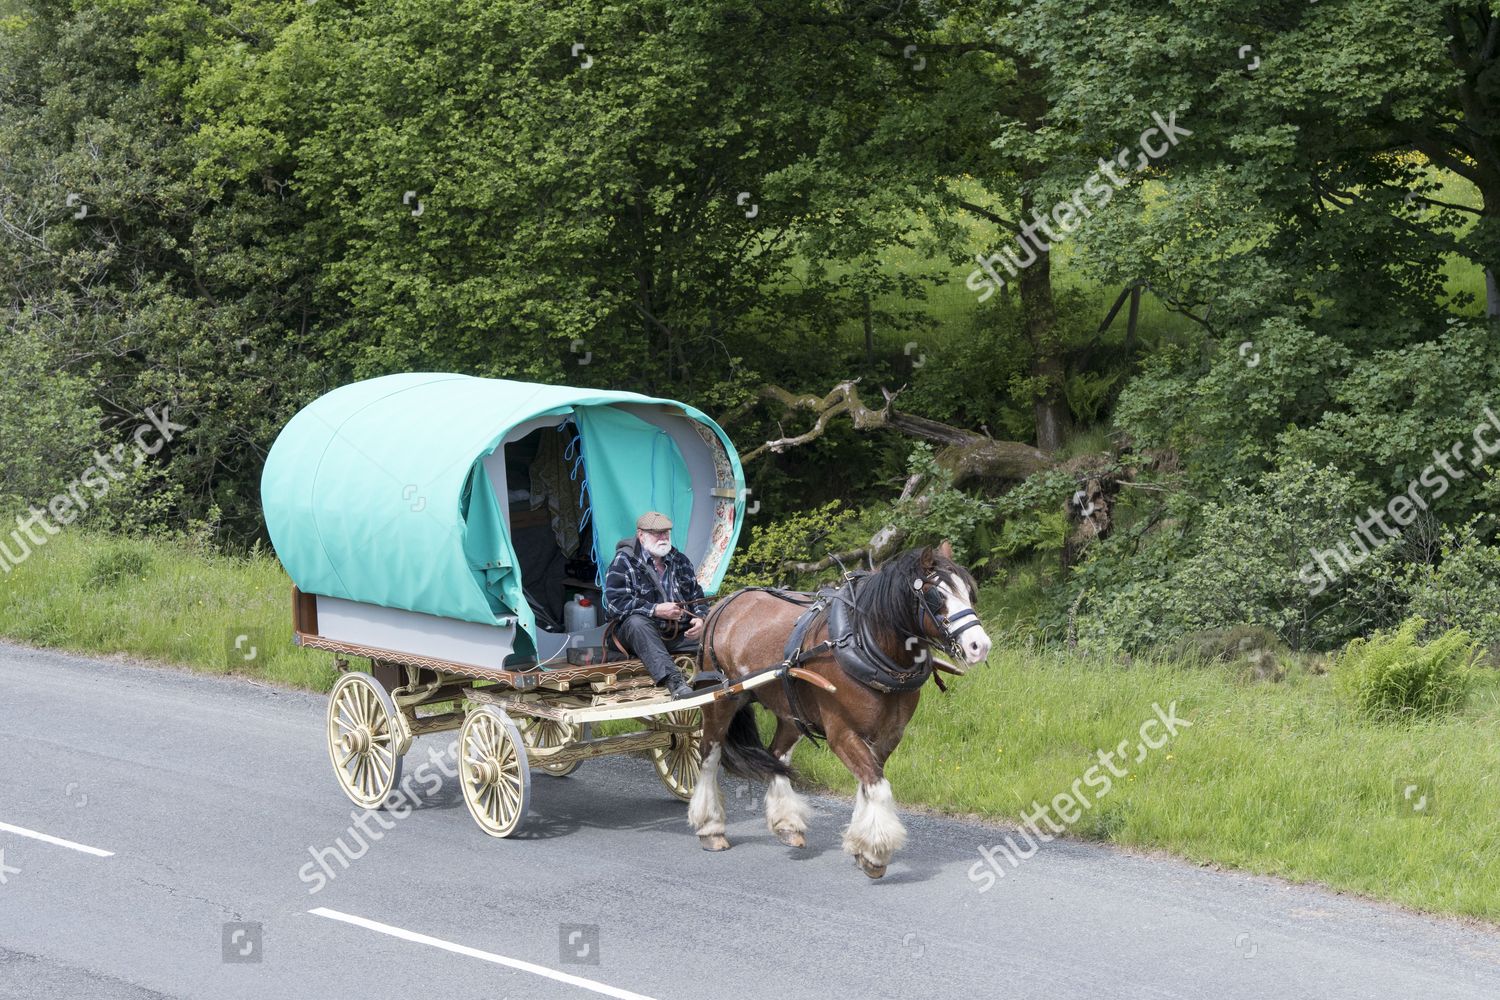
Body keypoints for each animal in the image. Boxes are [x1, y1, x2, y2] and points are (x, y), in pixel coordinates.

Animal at [688, 541, 992, 878]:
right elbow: (877, 785)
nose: (980, 645)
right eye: (937, 595)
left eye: (970, 592)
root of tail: (724, 603)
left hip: (790, 709)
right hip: (720, 700)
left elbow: (868, 784)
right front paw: (875, 853)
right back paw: (710, 827)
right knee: (709, 755)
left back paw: (787, 824)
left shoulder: (888, 735)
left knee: (777, 754)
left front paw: (861, 845)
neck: (867, 647)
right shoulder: (842, 733)